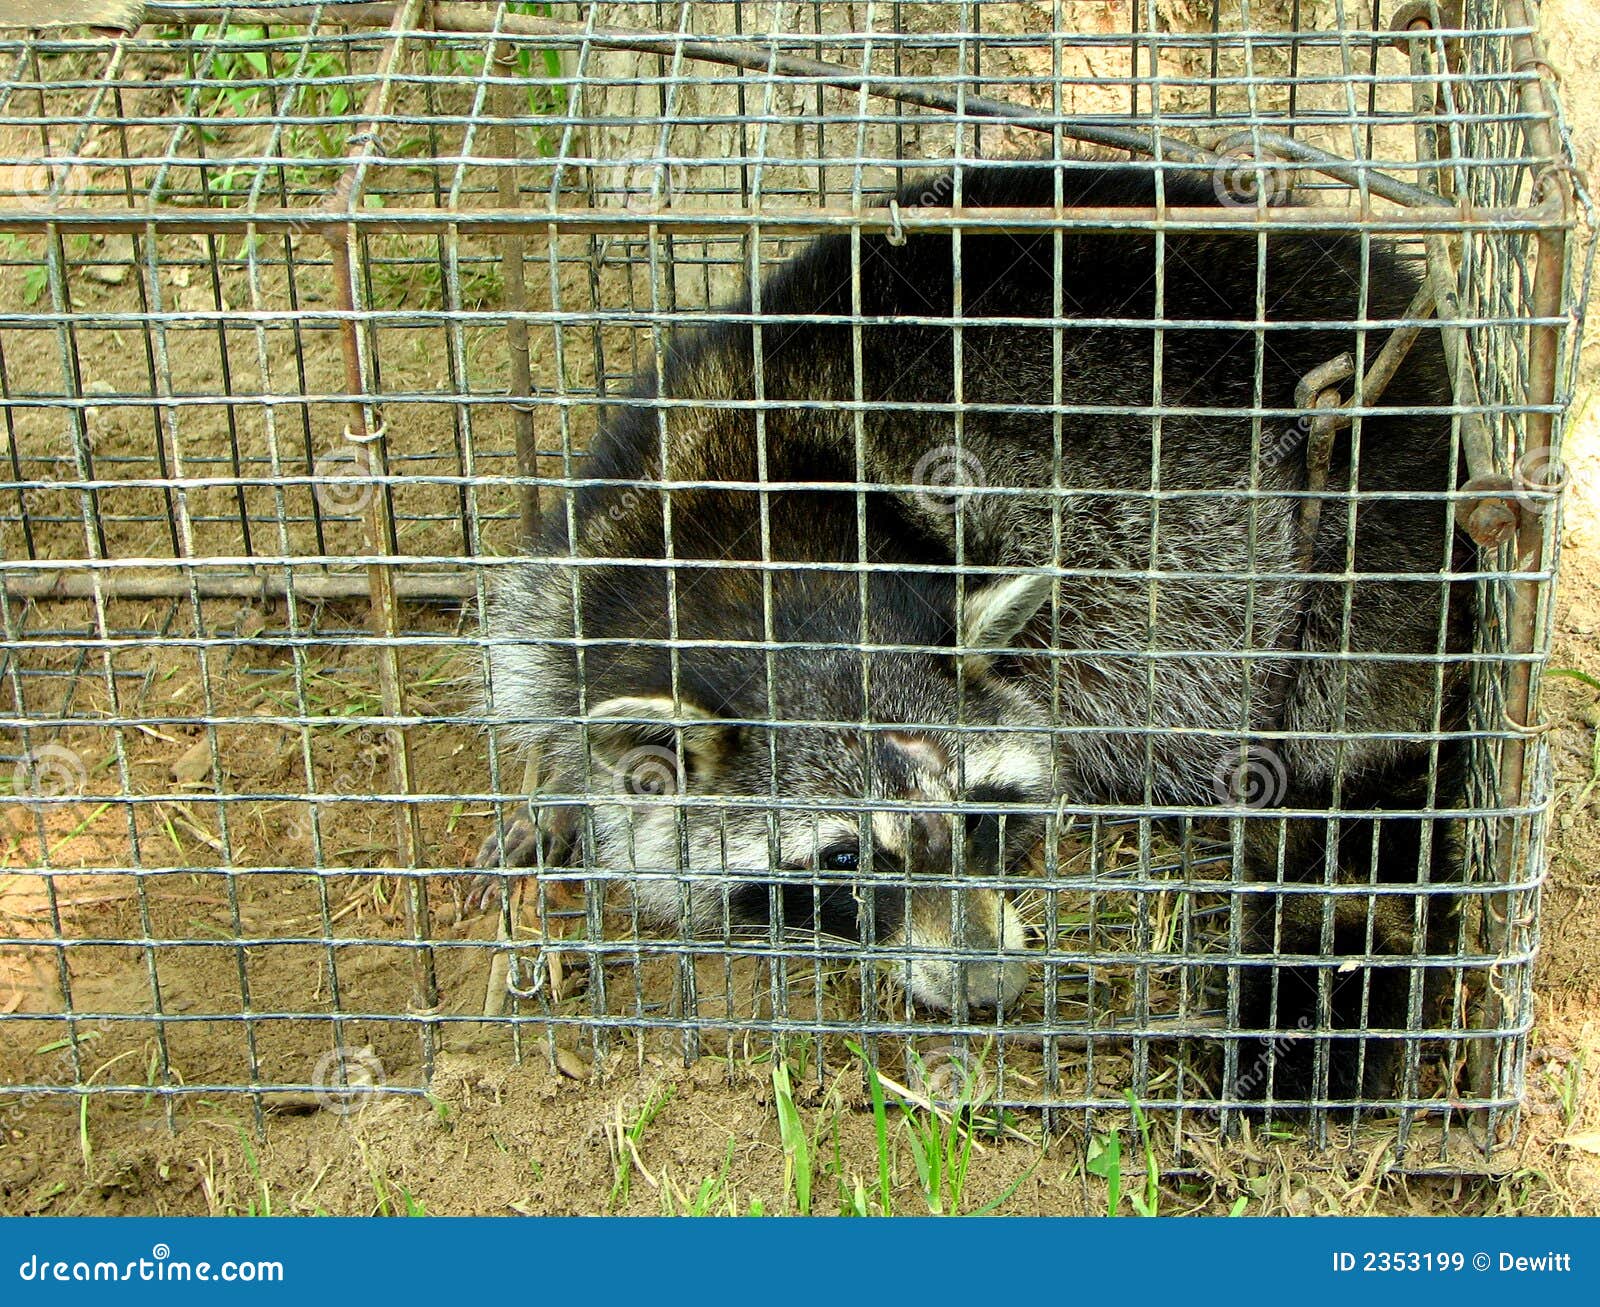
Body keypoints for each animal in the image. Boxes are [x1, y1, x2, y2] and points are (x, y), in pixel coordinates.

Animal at [480, 159, 1472, 1101]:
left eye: (981, 814)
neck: (751, 547)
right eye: (847, 859)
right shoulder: (587, 550)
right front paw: (555, 793)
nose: (991, 985)